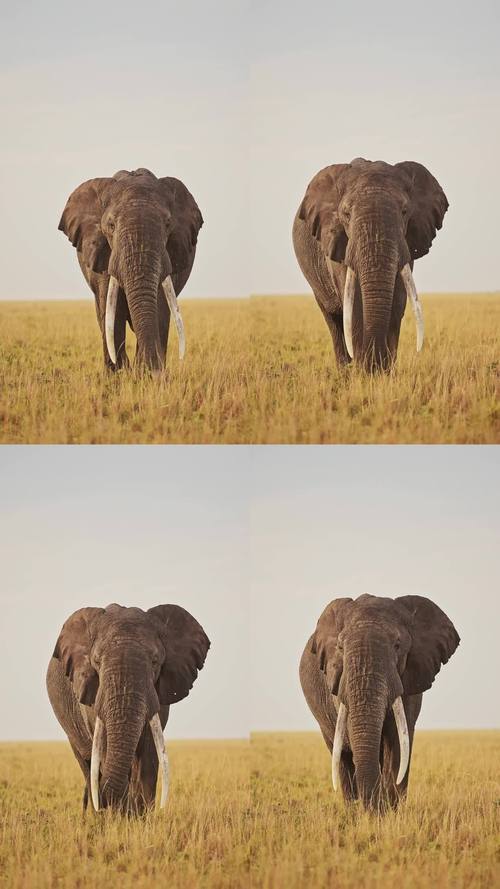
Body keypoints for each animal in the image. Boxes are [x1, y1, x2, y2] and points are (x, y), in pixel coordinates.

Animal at [46, 603, 210, 814]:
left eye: (155, 661)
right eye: (96, 661)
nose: (106, 803)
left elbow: (149, 756)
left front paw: (140, 818)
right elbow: (105, 751)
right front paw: (118, 817)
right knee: (87, 764)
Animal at [58, 168, 203, 371]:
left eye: (168, 224)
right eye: (111, 225)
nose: (153, 371)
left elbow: (159, 308)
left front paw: (147, 374)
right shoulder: (104, 254)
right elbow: (111, 312)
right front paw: (119, 374)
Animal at [292, 158, 449, 370]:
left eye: (405, 211)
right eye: (346, 214)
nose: (374, 365)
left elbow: (397, 301)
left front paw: (383, 372)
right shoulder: (336, 242)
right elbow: (354, 306)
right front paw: (364, 373)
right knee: (333, 319)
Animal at [299, 594, 459, 811]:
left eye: (397, 645)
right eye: (340, 647)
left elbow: (398, 742)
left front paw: (390, 813)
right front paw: (375, 813)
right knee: (341, 757)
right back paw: (351, 810)